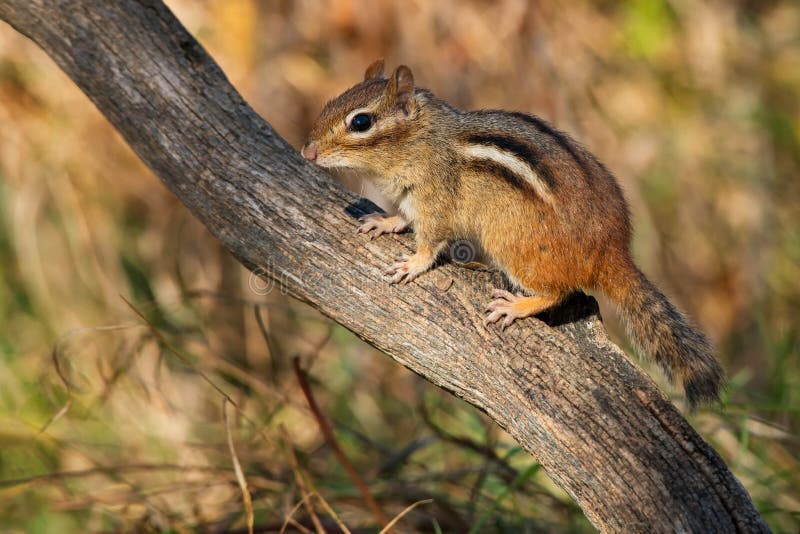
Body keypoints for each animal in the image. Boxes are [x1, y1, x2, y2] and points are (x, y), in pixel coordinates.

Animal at [301, 60, 724, 408]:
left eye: (361, 122)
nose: (308, 152)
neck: (421, 139)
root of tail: (611, 251)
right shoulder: (410, 199)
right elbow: (404, 219)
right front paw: (385, 222)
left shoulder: (435, 199)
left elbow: (430, 240)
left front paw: (413, 265)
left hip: (512, 247)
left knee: (559, 292)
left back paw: (516, 306)